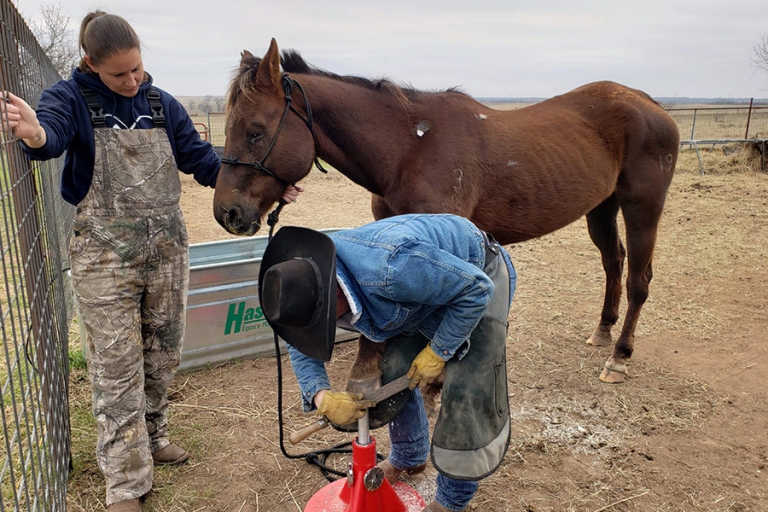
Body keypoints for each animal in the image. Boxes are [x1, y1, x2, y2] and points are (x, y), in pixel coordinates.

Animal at [213, 38, 680, 384]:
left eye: (255, 132)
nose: (227, 213)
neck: (411, 146)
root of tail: (649, 103)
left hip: (642, 208)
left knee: (638, 279)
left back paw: (619, 356)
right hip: (601, 208)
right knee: (613, 263)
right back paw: (603, 331)